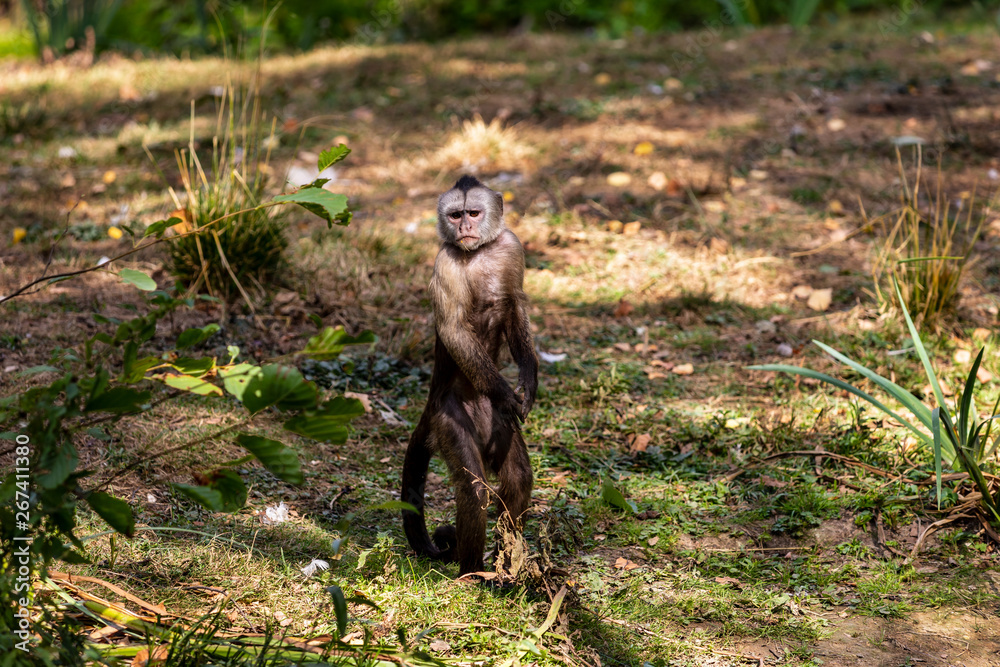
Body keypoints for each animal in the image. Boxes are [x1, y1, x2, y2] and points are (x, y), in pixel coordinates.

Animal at [401, 175, 538, 576]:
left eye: (473, 213)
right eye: (455, 215)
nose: (464, 228)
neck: (477, 252)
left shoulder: (511, 245)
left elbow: (515, 305)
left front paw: (529, 383)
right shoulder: (444, 261)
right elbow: (453, 329)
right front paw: (507, 394)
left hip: (495, 423)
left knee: (517, 479)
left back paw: (508, 561)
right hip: (448, 416)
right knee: (474, 490)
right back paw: (472, 573)